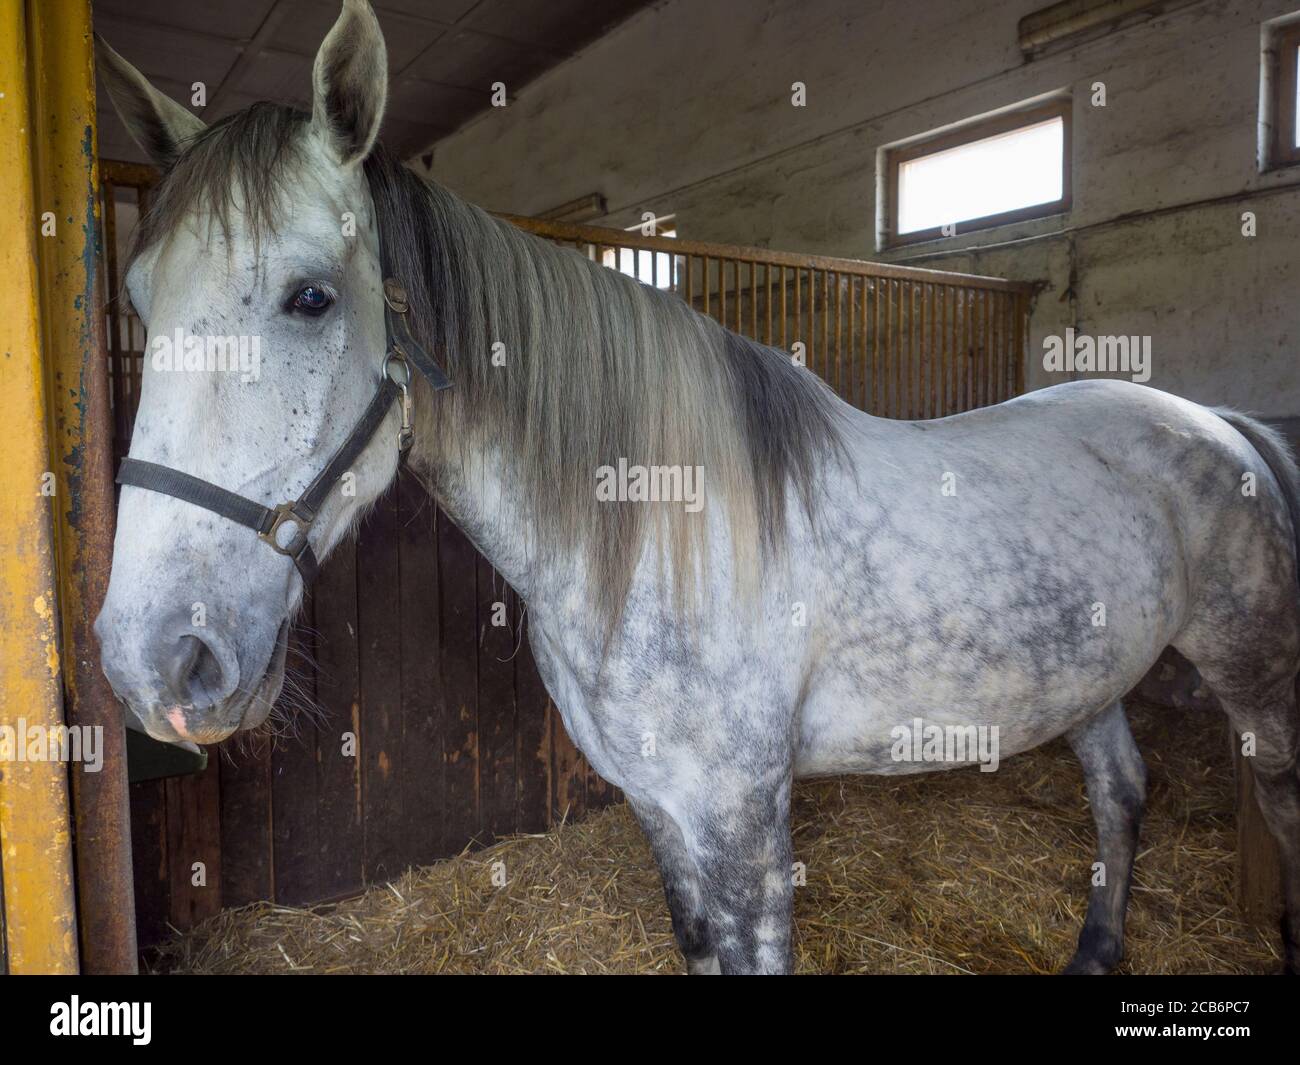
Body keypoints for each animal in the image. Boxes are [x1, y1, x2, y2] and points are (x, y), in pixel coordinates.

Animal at [94, 0, 1300, 975]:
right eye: (140, 303)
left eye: (309, 297)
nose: (157, 660)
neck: (657, 535)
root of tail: (1217, 425)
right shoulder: (662, 810)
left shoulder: (743, 822)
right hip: (1087, 679)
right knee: (1121, 793)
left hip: (1255, 680)